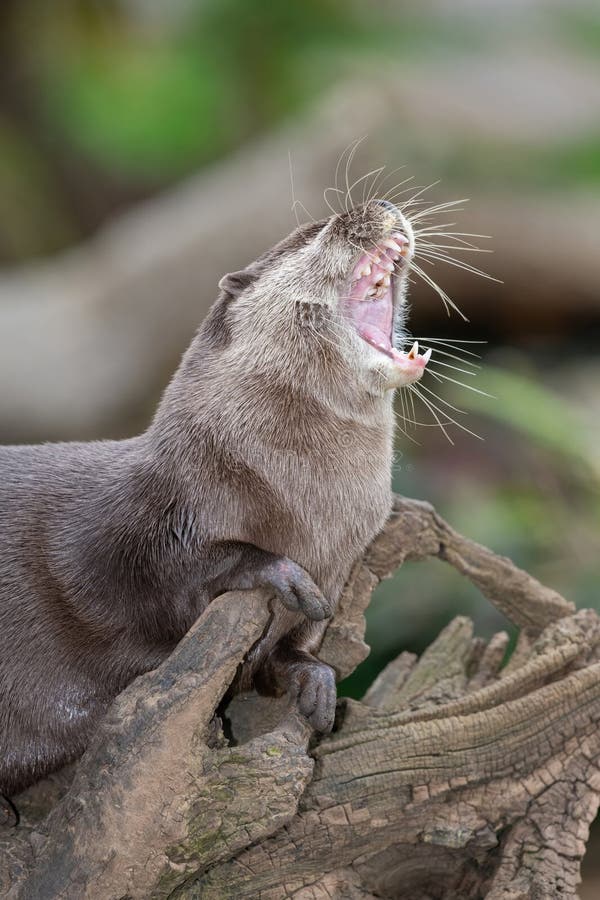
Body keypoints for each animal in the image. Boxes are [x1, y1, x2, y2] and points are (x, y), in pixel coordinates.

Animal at [0, 198, 430, 799]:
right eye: (309, 232)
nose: (382, 205)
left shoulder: (342, 566)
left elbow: (294, 644)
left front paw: (312, 676)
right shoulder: (131, 530)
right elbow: (156, 574)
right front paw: (276, 570)